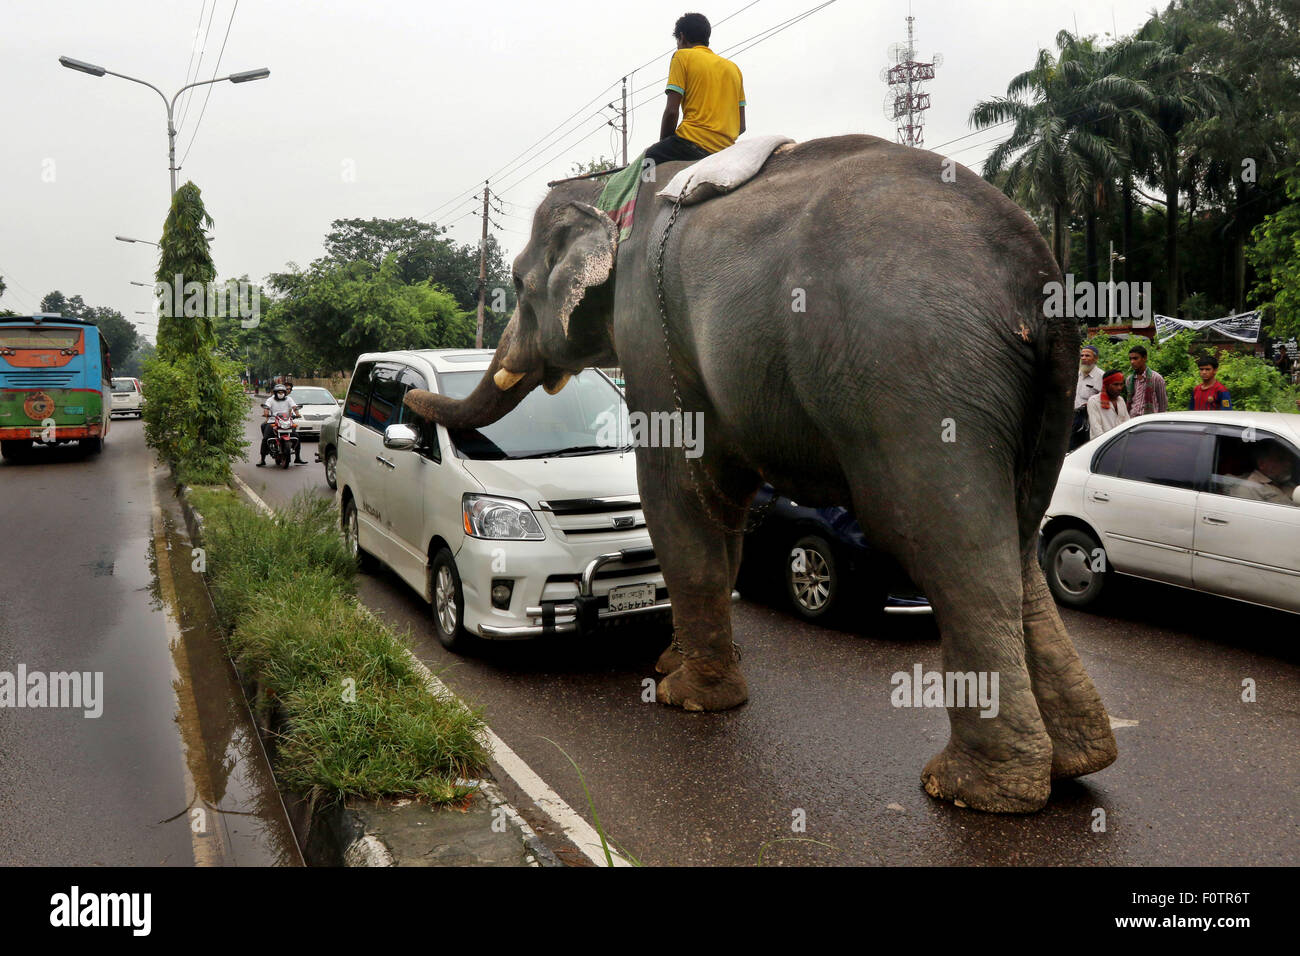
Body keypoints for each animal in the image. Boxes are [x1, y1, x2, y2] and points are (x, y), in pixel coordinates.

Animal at [404, 134, 1118, 813]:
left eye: (519, 283)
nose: (405, 399)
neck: (616, 192)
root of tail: (1039, 277)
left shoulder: (649, 330)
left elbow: (677, 489)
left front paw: (686, 696)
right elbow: (725, 501)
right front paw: (677, 664)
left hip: (924, 387)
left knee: (951, 549)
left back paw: (972, 791)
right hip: (1027, 412)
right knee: (1017, 549)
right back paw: (1077, 760)